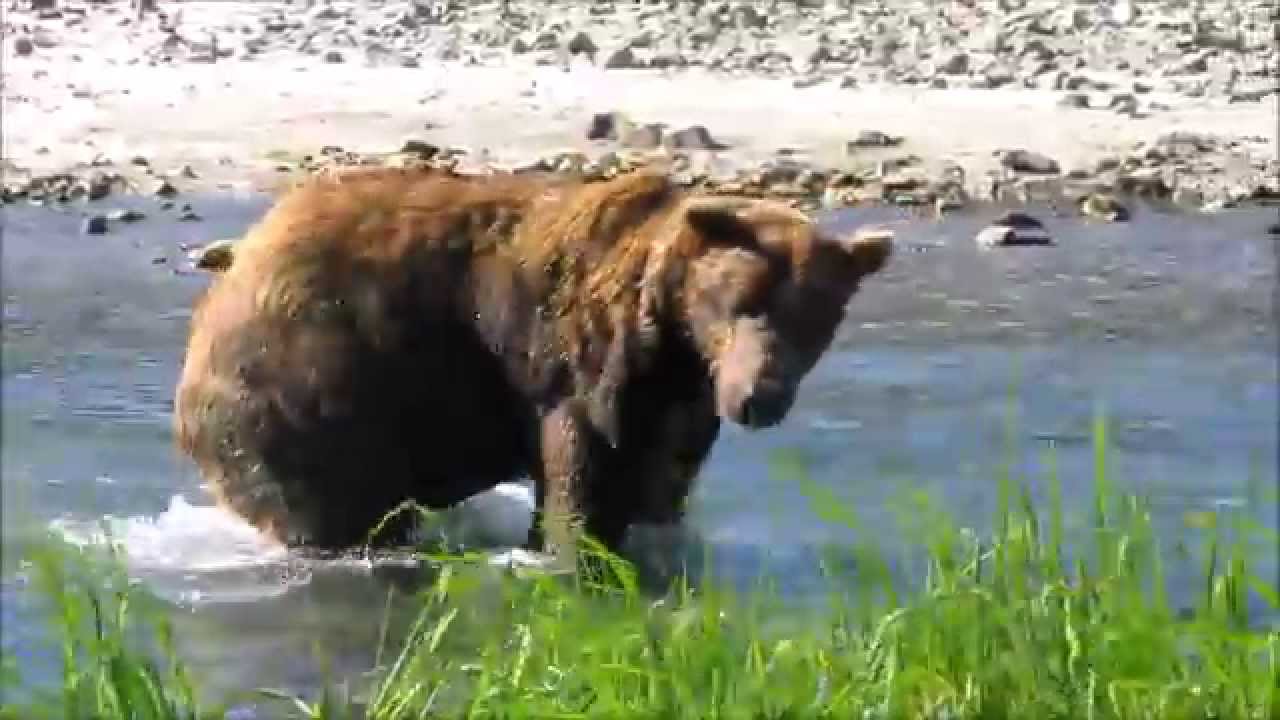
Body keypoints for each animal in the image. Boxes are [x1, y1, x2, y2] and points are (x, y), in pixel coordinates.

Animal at [173, 165, 893, 565]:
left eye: (815, 320)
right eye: (741, 302)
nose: (757, 397)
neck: (669, 339)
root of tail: (238, 261)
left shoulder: (676, 398)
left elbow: (660, 484)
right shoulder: (577, 366)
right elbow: (582, 475)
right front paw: (575, 554)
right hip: (316, 378)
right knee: (337, 501)